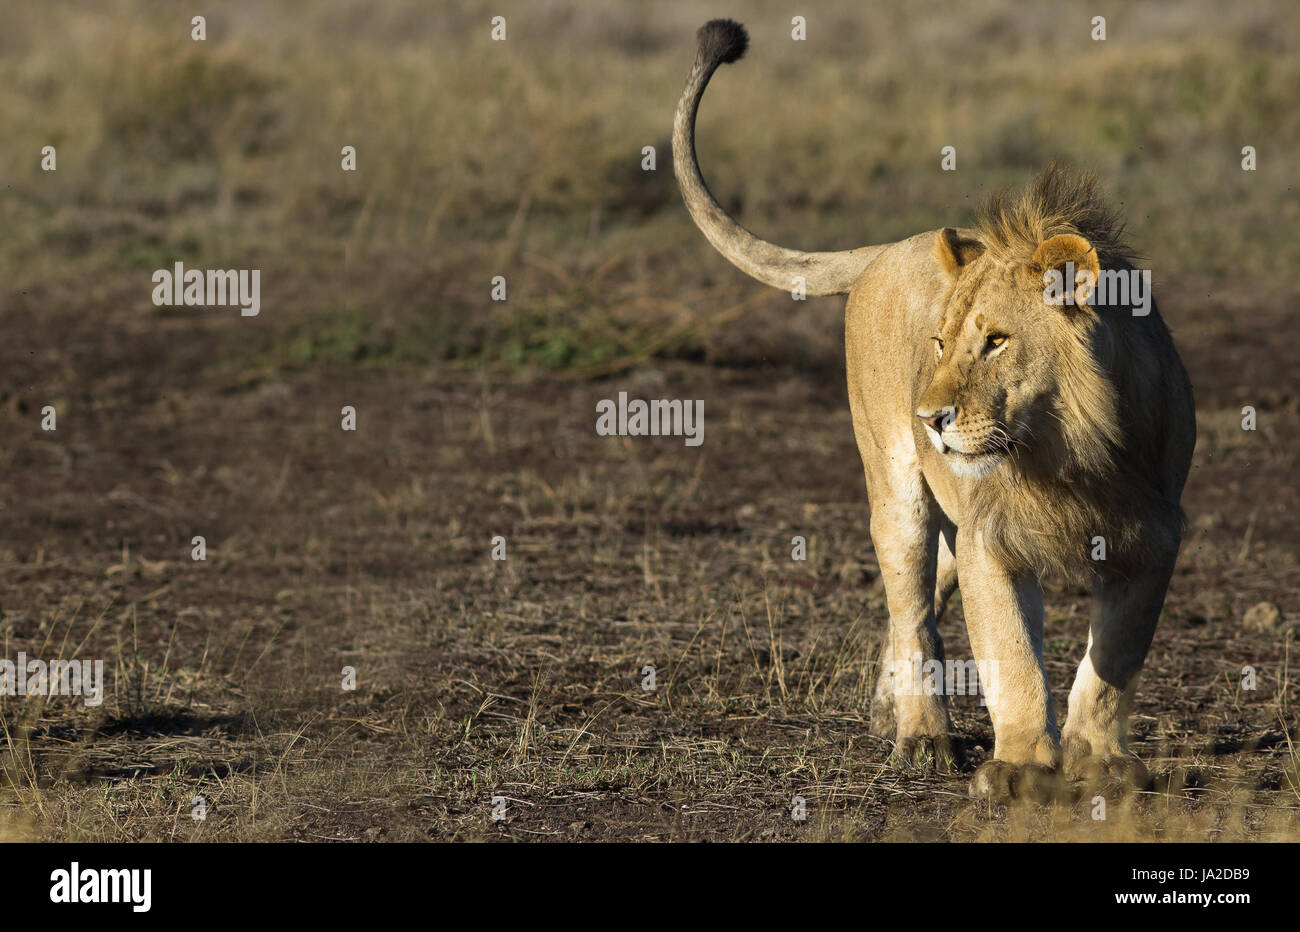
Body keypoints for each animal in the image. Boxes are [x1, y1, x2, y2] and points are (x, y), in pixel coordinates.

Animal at [673, 20, 1195, 801]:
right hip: (898, 494)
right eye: (941, 343)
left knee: (923, 608)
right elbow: (1012, 655)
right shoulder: (993, 538)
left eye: (997, 341)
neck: (1065, 451)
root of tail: (889, 246)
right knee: (912, 609)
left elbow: (1112, 663)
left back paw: (887, 712)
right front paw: (1020, 768)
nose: (932, 421)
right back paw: (921, 735)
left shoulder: (1154, 536)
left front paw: (1100, 763)